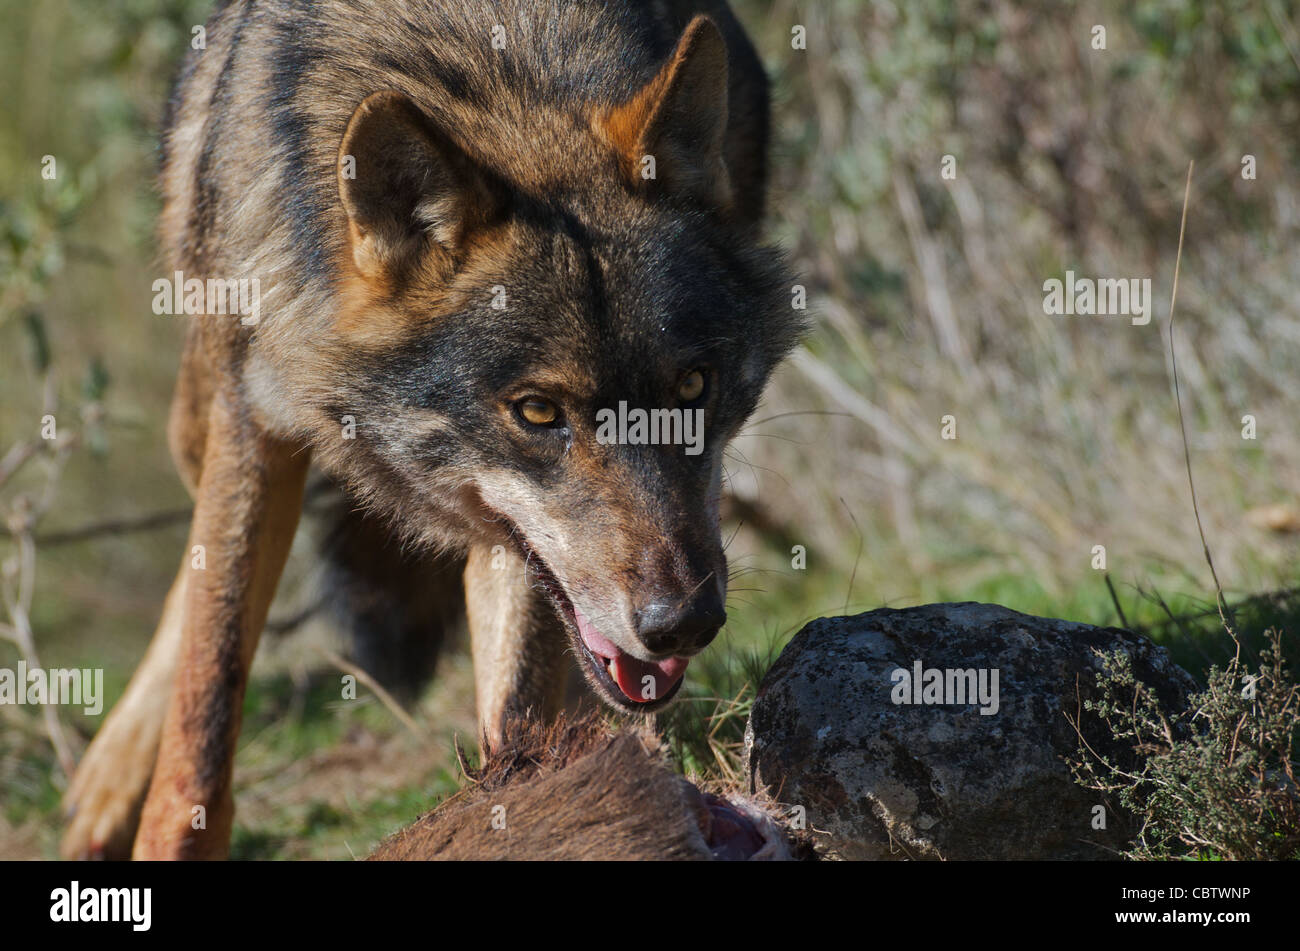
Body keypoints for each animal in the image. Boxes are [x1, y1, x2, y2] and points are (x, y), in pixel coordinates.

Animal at [62, 0, 801, 860]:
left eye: (692, 387)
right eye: (538, 412)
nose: (682, 624)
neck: (502, 76)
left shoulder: (518, 547)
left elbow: (516, 708)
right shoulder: (253, 422)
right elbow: (206, 694)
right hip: (199, 404)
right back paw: (107, 779)